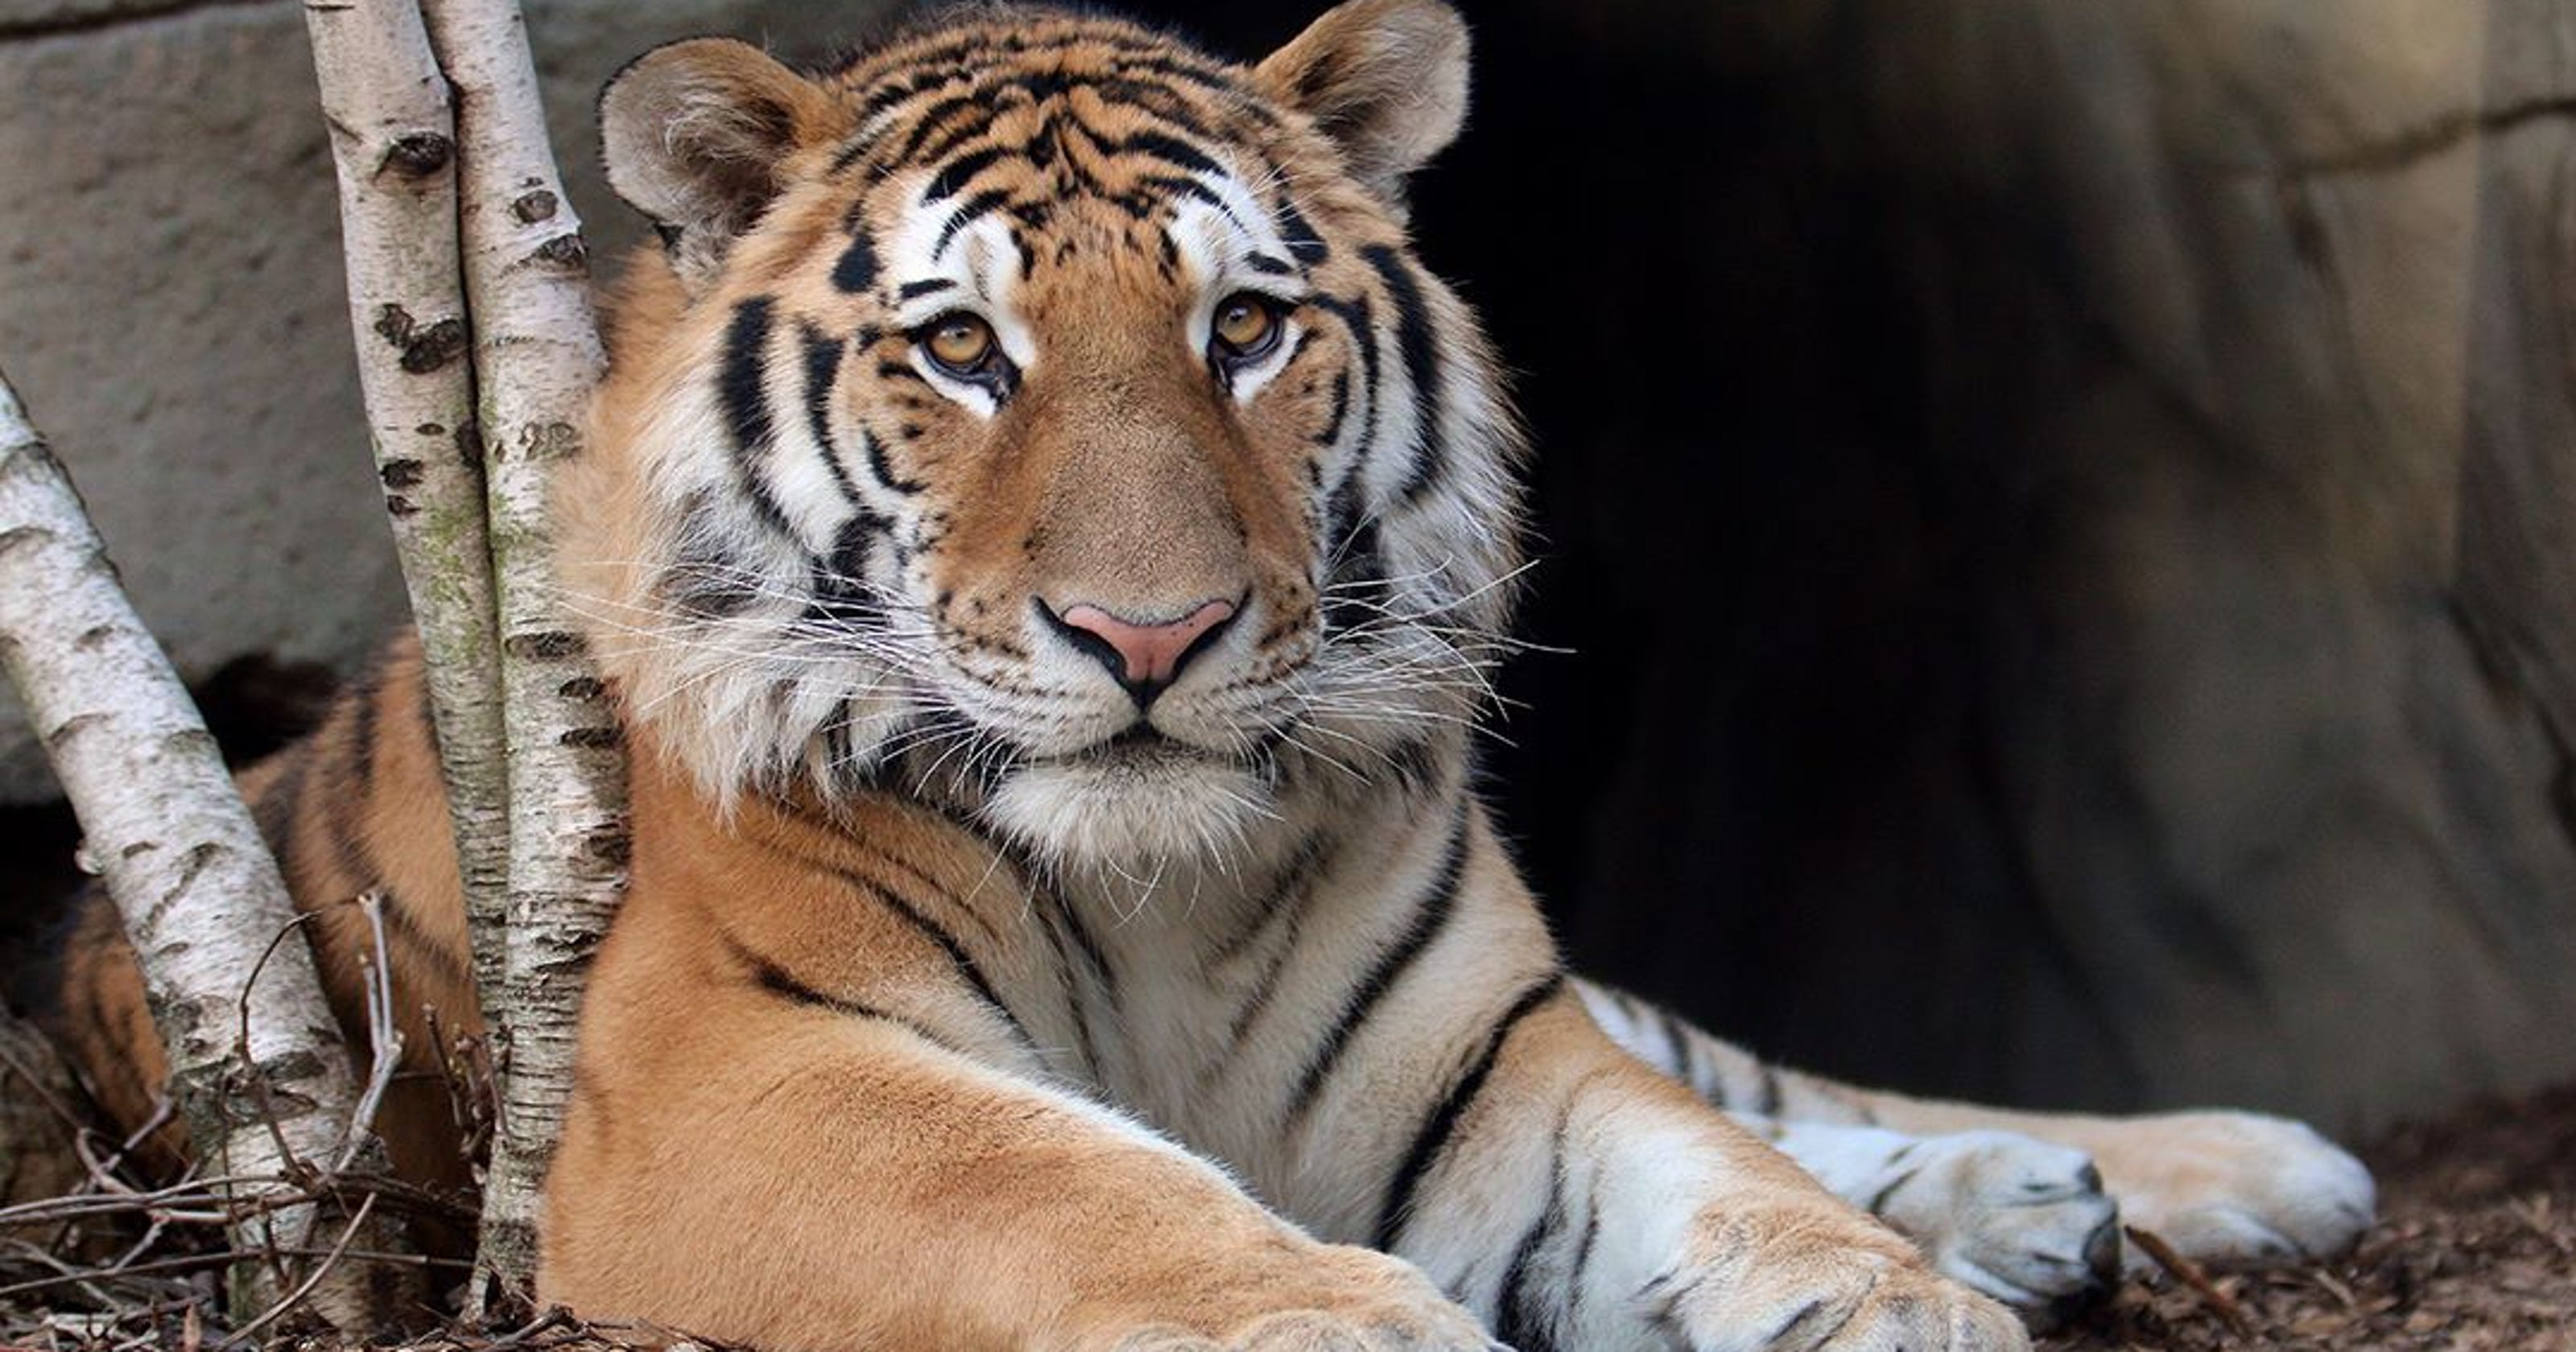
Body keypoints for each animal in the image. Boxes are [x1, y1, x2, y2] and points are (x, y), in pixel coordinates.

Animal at [43, 2, 2378, 1348]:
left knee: (1757, 1079)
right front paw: (1371, 1330)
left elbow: (1742, 1189)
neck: (1162, 893)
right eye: (959, 349)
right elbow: (1076, 1195)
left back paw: (2195, 1170)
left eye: (1242, 326)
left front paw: (1905, 1308)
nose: (1150, 636)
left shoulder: (1489, 1050)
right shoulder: (731, 1077)